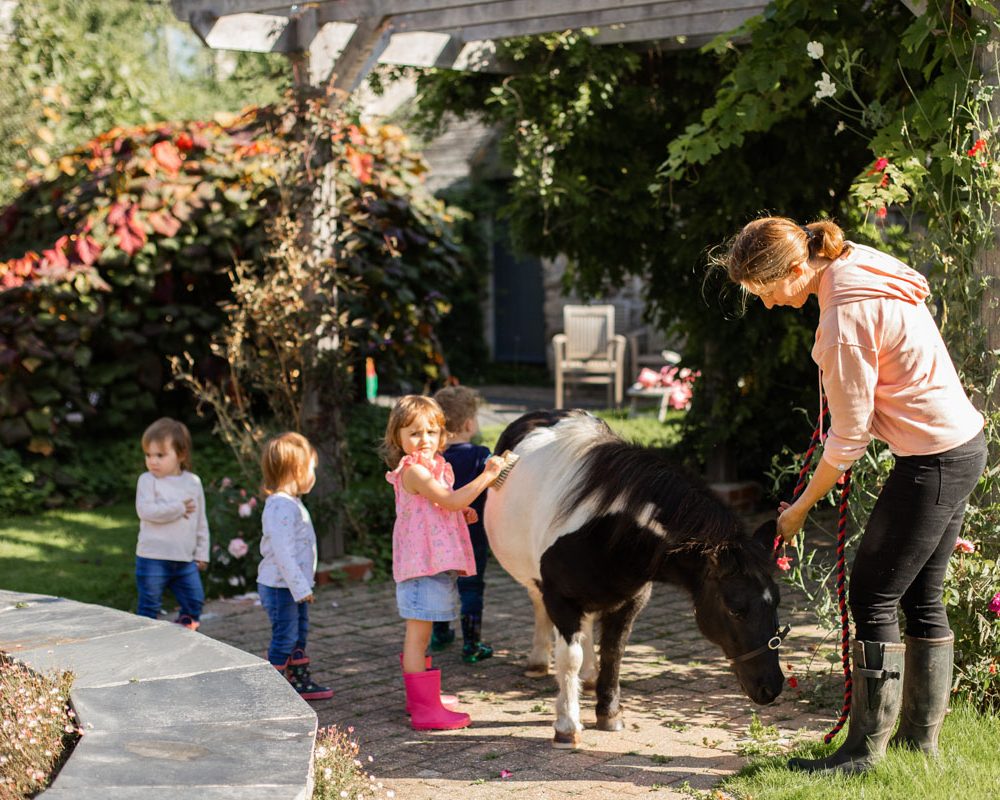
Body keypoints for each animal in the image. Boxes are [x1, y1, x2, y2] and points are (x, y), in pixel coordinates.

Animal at [483, 410, 787, 748]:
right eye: (735, 609)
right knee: (539, 606)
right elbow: (568, 658)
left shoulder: (629, 602)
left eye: (776, 601)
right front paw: (567, 724)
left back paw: (589, 677)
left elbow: (614, 654)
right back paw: (539, 661)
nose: (771, 687)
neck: (606, 530)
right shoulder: (561, 600)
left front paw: (609, 713)